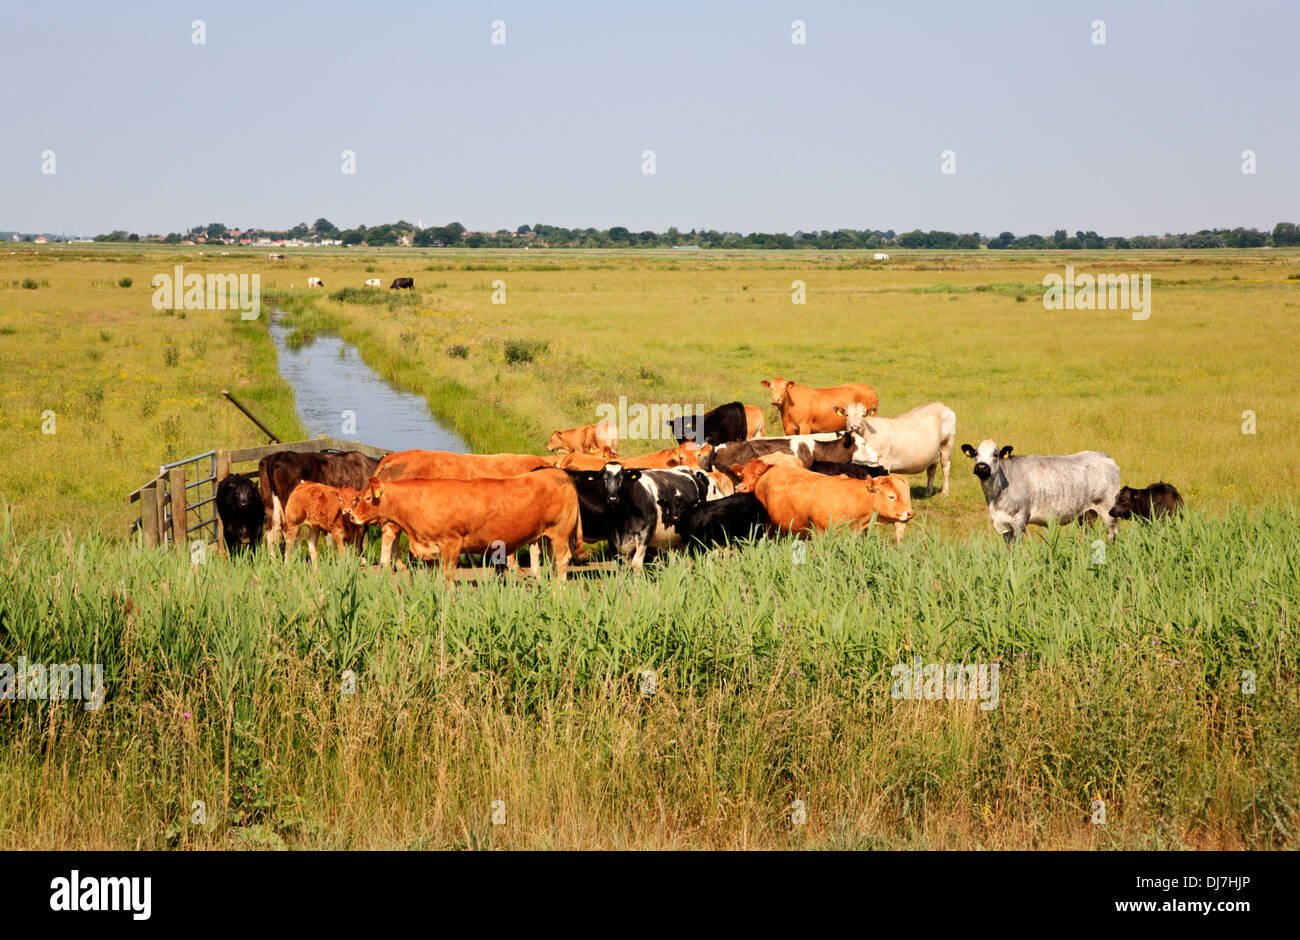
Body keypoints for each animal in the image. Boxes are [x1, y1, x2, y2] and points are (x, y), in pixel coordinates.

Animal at [338, 470, 580, 584]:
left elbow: (447, 578)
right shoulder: (430, 550)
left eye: (367, 498)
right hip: (548, 536)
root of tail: (558, 473)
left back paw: (559, 590)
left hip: (561, 532)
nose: (352, 516)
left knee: (562, 560)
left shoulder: (451, 544)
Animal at [960, 440, 1122, 544]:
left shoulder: (1020, 520)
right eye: (975, 453)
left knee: (1112, 535)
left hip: (1108, 511)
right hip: (1087, 515)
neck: (995, 497)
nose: (982, 467)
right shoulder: (1003, 524)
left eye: (996, 454)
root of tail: (1105, 456)